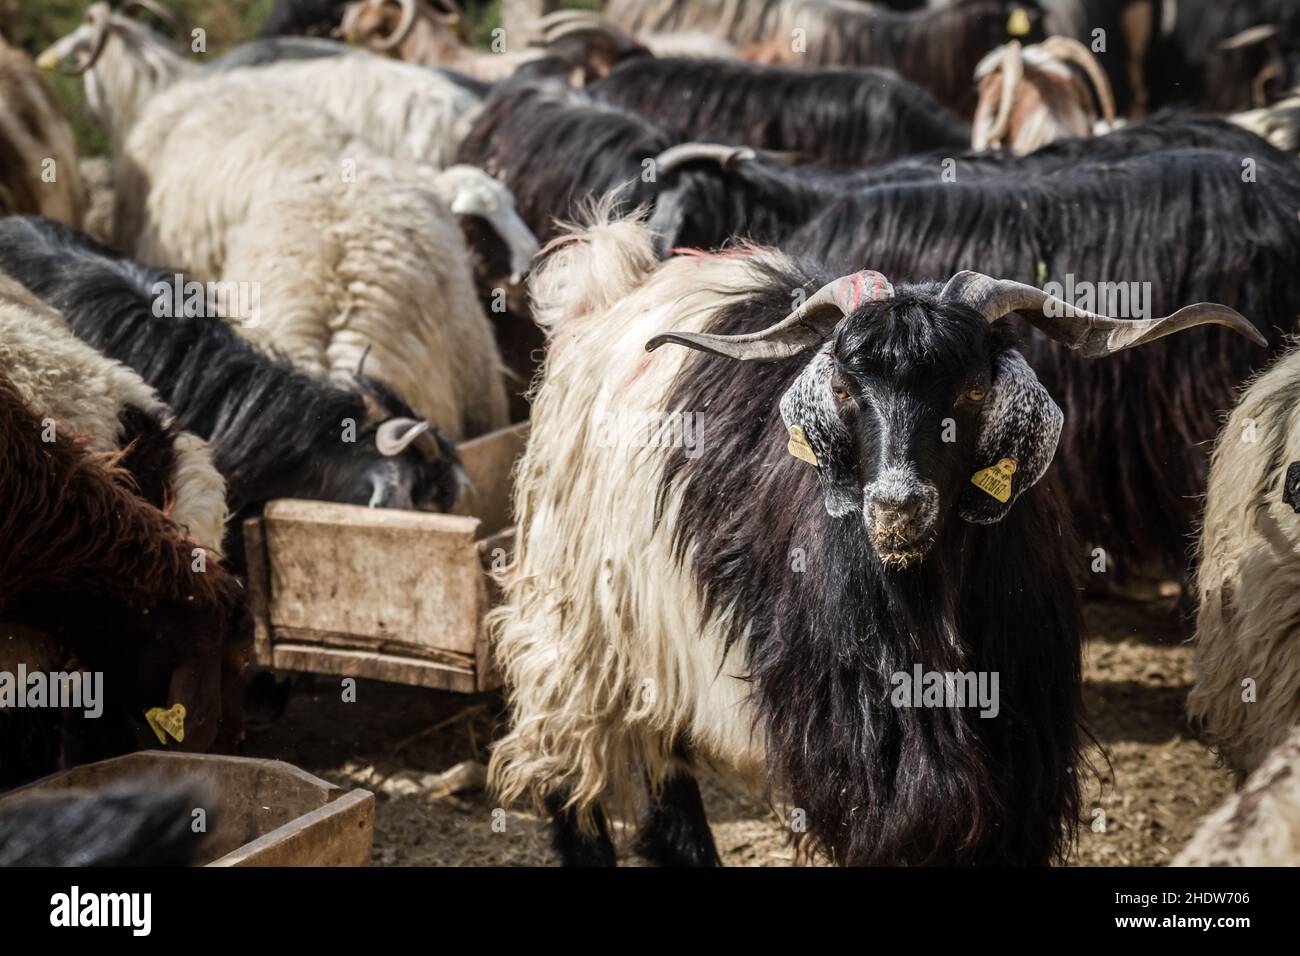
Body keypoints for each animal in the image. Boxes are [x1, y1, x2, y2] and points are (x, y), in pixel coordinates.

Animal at [488, 209, 1261, 865]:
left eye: (974, 390)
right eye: (842, 388)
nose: (896, 508)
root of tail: (611, 285)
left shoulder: (1020, 764)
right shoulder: (865, 772)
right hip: (574, 625)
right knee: (569, 763)